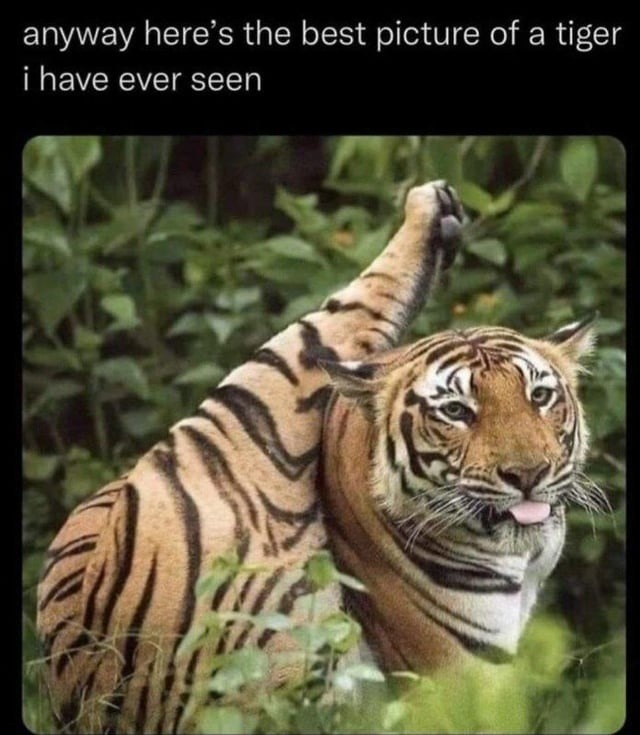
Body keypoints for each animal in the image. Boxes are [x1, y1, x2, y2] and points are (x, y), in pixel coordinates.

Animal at [36, 180, 601, 733]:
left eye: (539, 397)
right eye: (457, 411)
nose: (528, 474)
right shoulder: (459, 683)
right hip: (258, 402)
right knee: (329, 322)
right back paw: (428, 205)